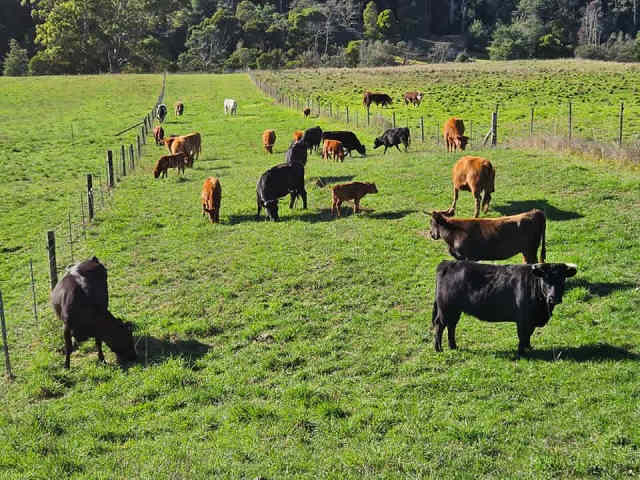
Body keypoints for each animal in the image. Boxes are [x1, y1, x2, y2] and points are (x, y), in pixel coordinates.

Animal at [432, 260, 577, 354]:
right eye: (545, 279)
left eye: (562, 279)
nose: (554, 298)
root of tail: (447, 263)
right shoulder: (523, 319)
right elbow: (522, 335)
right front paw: (521, 352)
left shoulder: (531, 321)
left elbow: (528, 335)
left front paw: (529, 348)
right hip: (446, 309)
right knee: (440, 326)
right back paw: (439, 349)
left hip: (454, 310)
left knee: (451, 326)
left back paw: (453, 346)